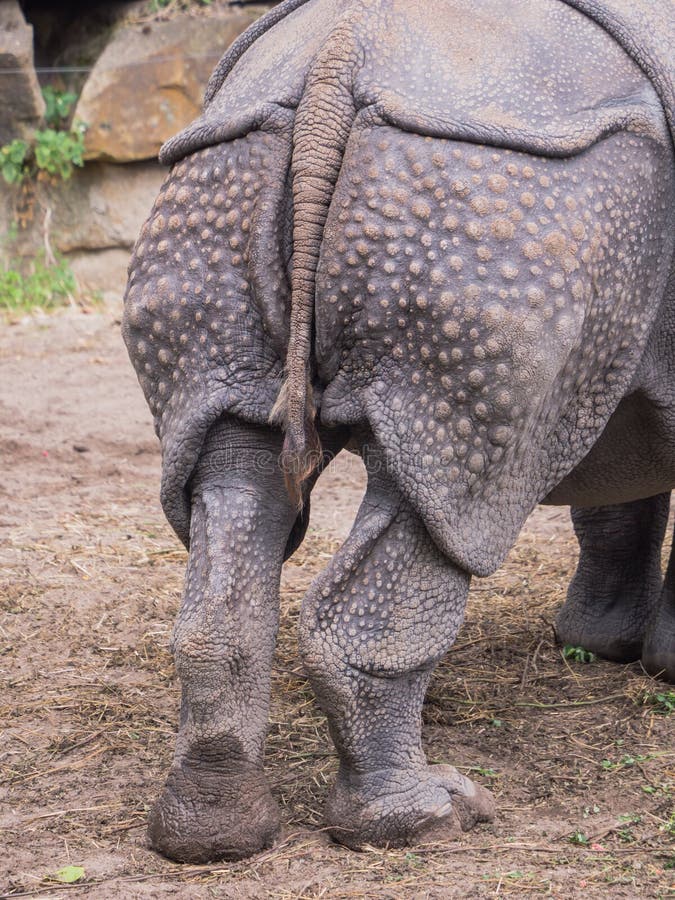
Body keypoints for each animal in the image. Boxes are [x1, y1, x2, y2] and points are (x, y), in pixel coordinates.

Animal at [122, 0, 675, 863]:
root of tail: (336, 60)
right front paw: (660, 661)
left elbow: (620, 481)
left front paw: (602, 646)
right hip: (502, 184)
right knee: (442, 493)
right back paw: (432, 818)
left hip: (224, 167)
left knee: (235, 467)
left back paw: (212, 839)